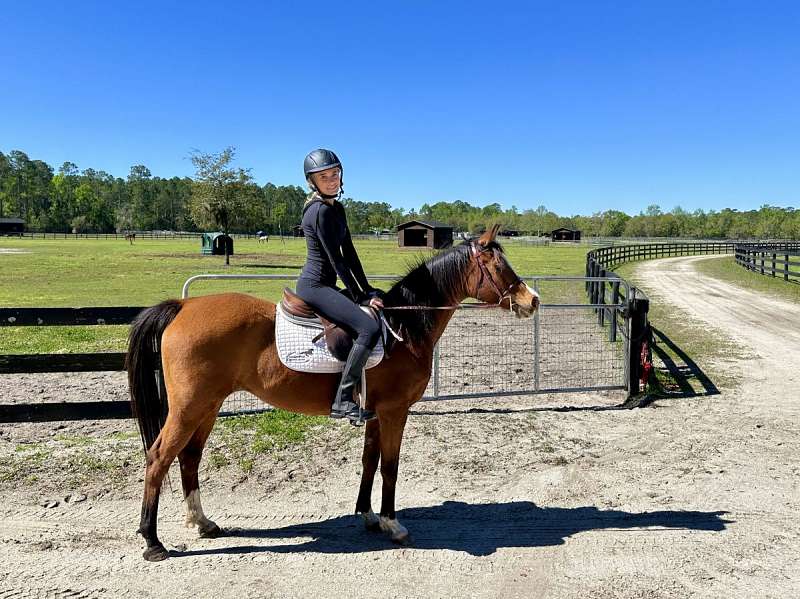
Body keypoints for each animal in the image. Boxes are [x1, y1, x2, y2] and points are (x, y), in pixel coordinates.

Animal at [126, 224, 539, 561]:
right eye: (499, 267)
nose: (532, 300)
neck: (402, 327)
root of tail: (183, 306)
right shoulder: (394, 411)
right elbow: (390, 466)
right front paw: (393, 524)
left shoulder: (374, 413)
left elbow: (369, 461)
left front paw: (369, 516)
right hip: (188, 408)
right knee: (159, 458)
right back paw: (152, 542)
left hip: (208, 406)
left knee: (189, 458)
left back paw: (202, 522)